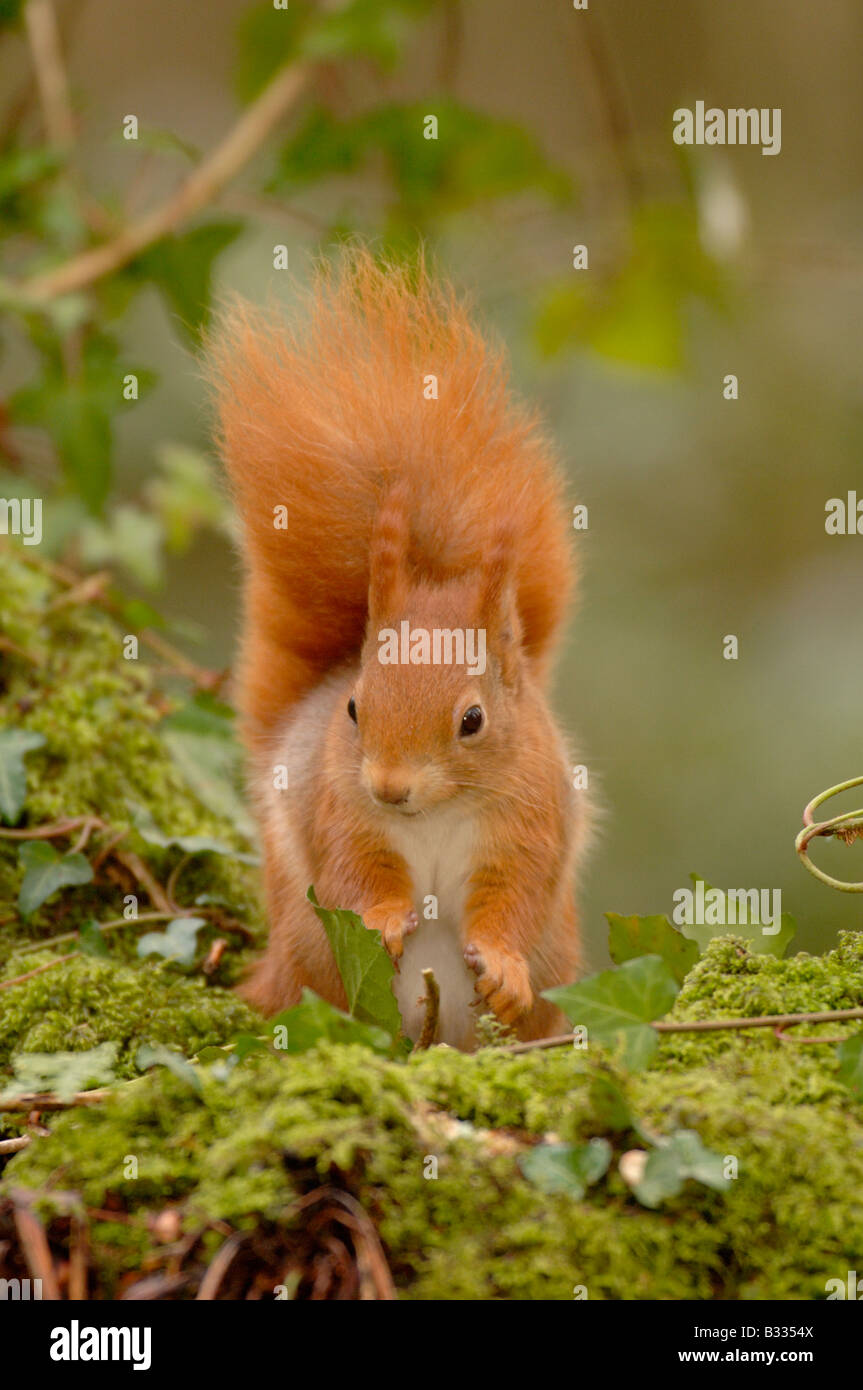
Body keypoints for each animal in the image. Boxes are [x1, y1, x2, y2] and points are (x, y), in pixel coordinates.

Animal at [205, 250, 589, 1045]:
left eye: (472, 720)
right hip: (309, 948)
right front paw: (381, 918)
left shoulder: (530, 821)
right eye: (354, 708)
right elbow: (352, 873)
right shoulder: (339, 809)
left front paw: (504, 966)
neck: (435, 813)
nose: (388, 787)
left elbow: (516, 895)